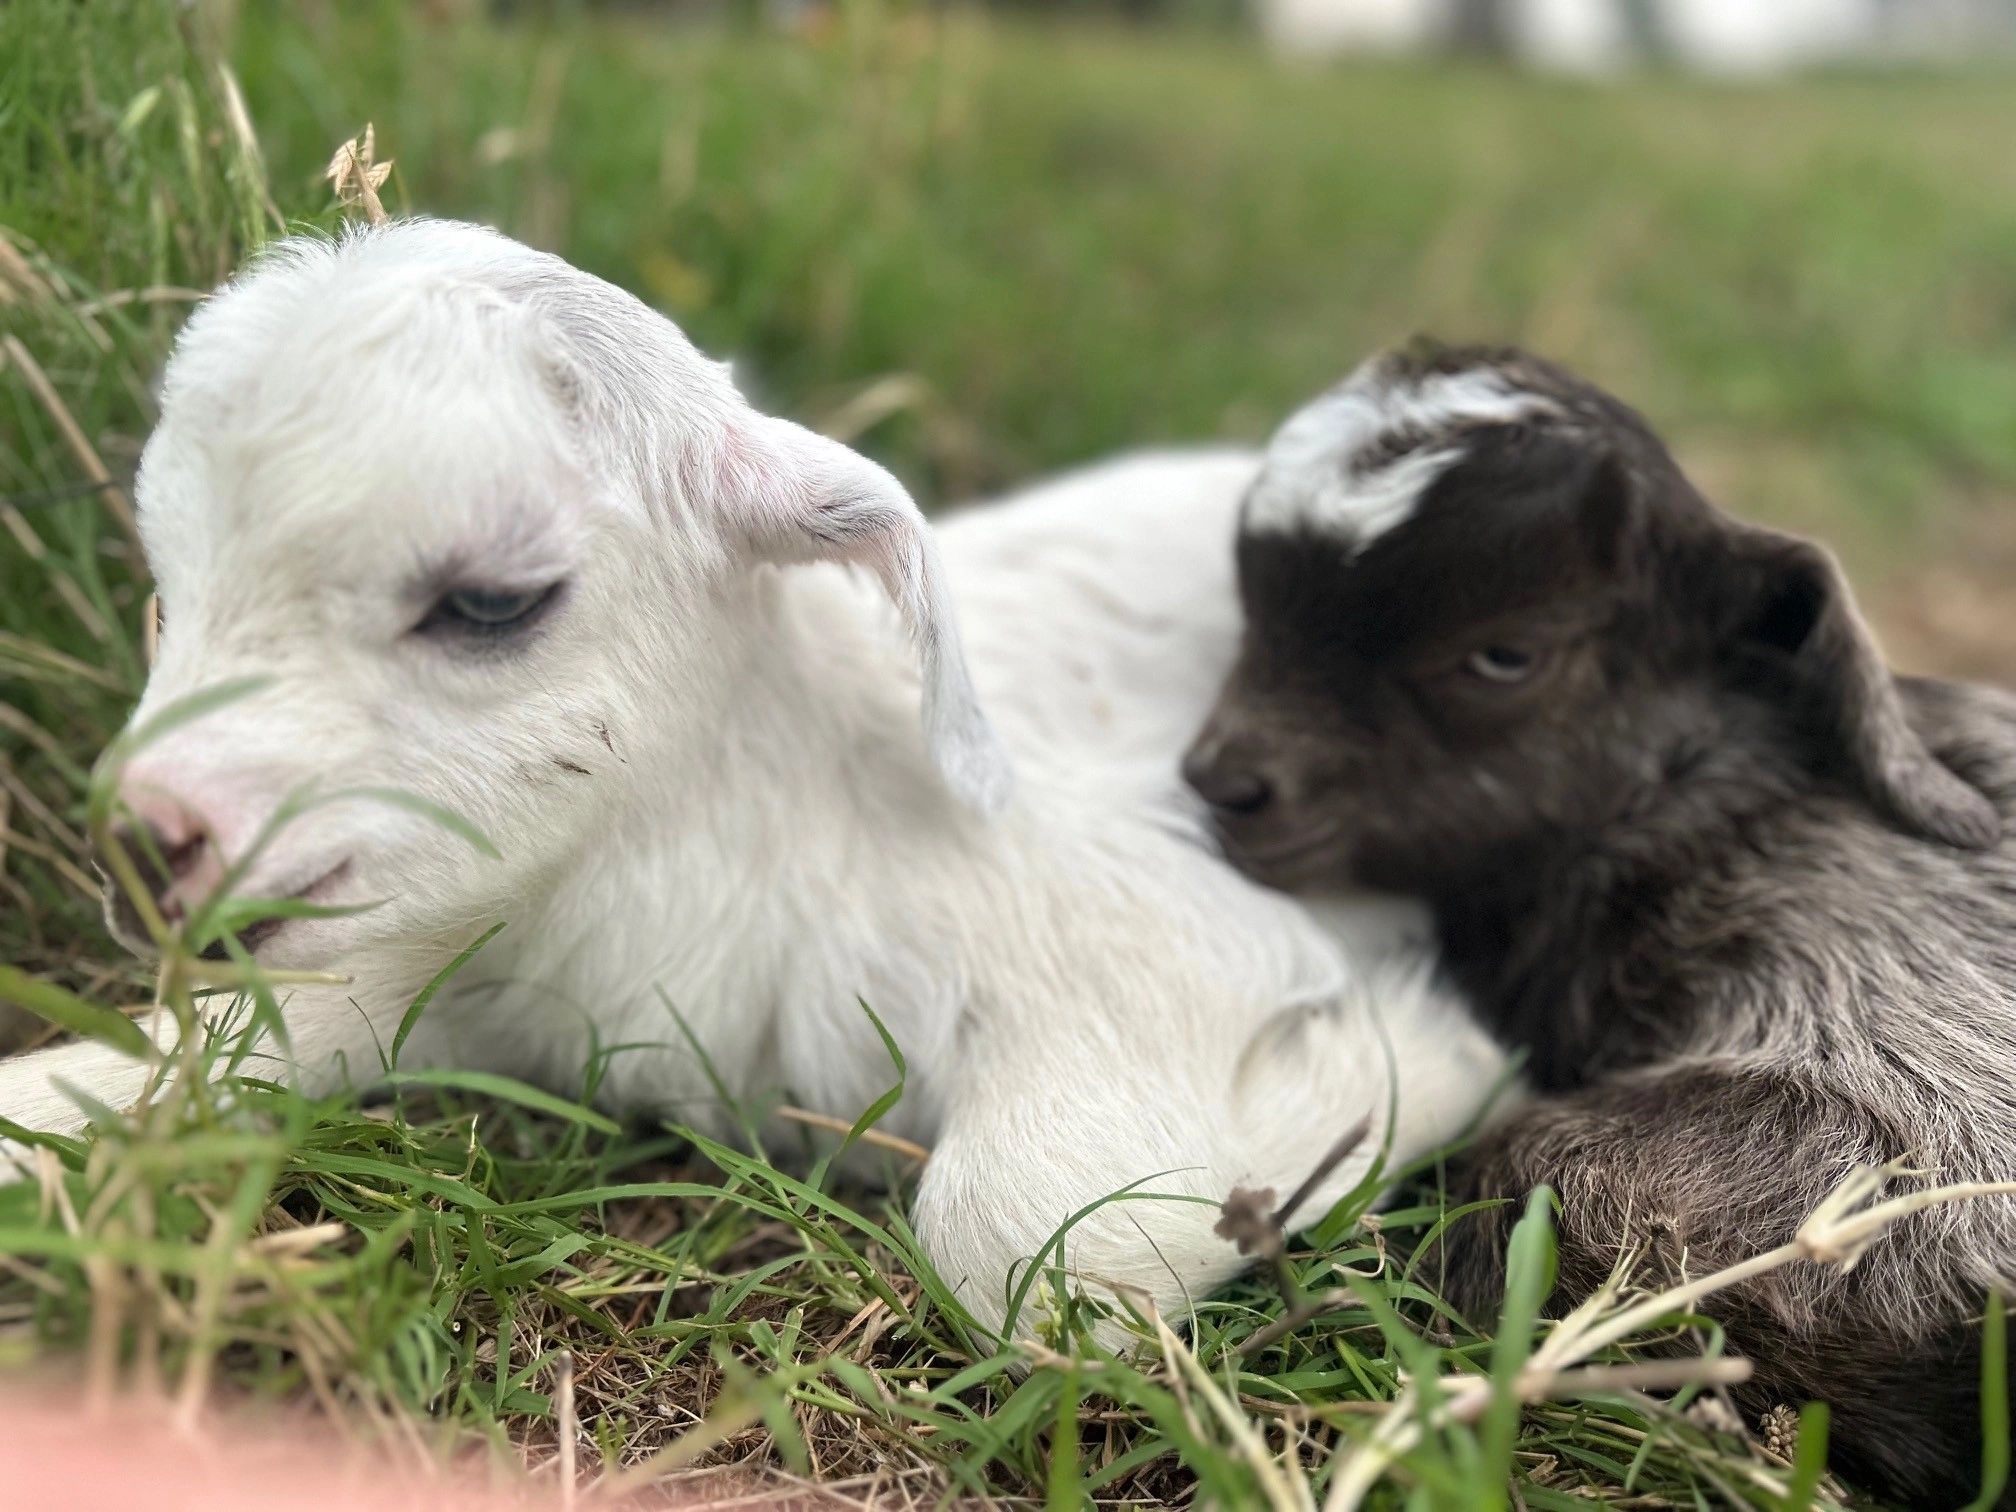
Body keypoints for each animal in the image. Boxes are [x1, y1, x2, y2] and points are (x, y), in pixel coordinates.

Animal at [0, 223, 1505, 1343]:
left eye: (491, 601)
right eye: (165, 585)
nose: (147, 833)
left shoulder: (1176, 939)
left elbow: (1016, 1248)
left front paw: (1419, 1051)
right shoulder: (450, 955)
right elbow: (220, 1037)